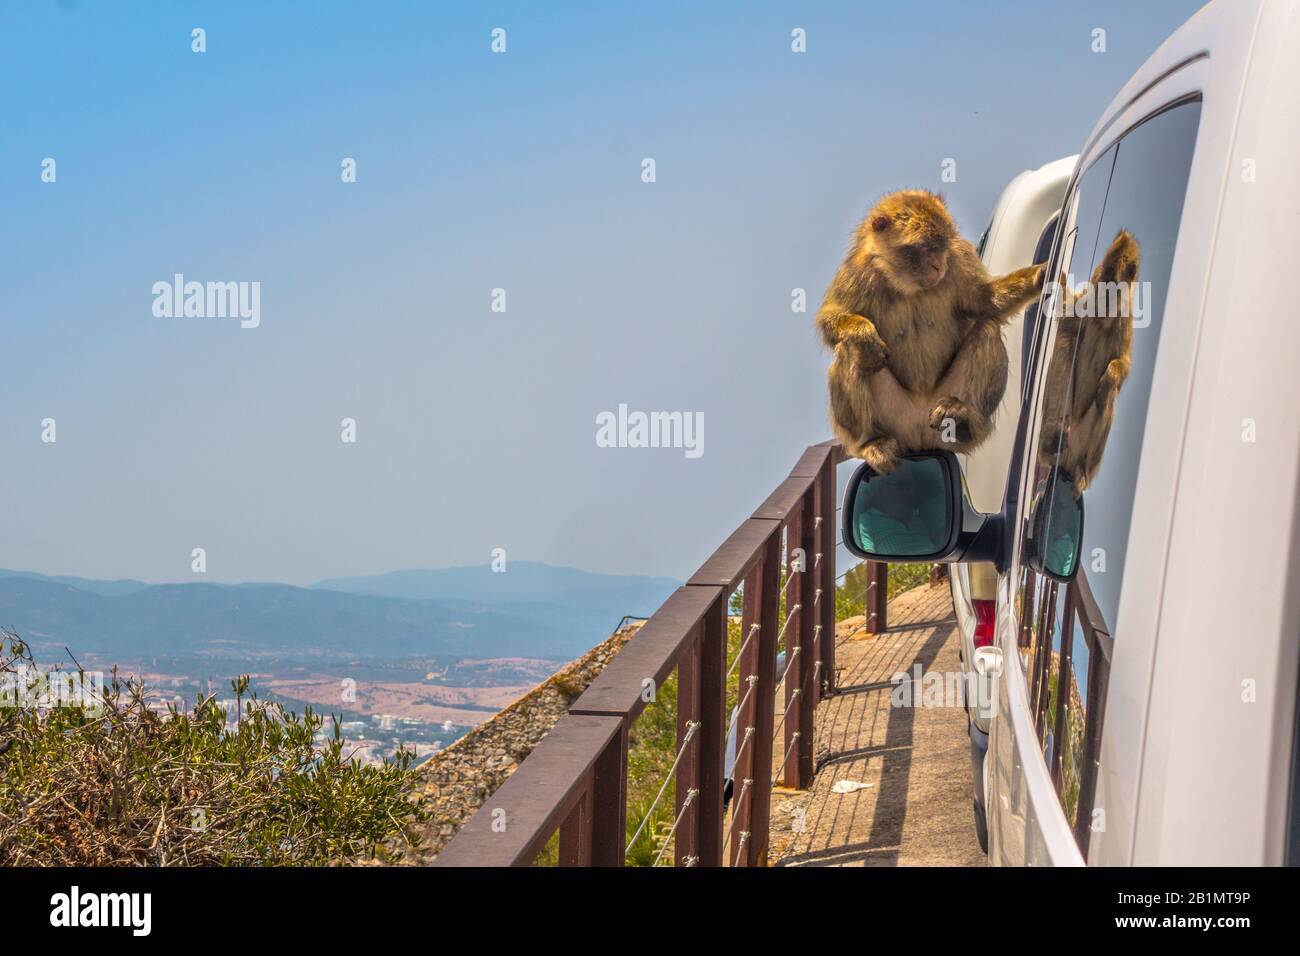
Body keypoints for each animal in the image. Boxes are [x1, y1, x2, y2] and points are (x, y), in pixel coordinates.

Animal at [816, 190, 1044, 473]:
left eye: (941, 246)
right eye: (925, 248)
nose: (938, 266)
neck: (906, 283)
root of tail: (919, 435)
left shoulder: (958, 256)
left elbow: (986, 302)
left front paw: (1042, 276)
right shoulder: (857, 272)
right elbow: (829, 318)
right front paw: (863, 334)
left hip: (942, 406)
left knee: (987, 328)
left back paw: (964, 419)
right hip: (895, 419)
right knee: (849, 350)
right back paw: (872, 441)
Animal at [1036, 229, 1141, 493]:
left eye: (1112, 287)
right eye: (1101, 281)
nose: (1103, 298)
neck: (1102, 318)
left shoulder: (1124, 320)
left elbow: (1121, 368)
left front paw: (1111, 376)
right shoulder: (1085, 301)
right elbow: (1066, 314)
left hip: (1084, 446)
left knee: (1107, 397)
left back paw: (1079, 471)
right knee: (1066, 338)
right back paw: (1052, 440)